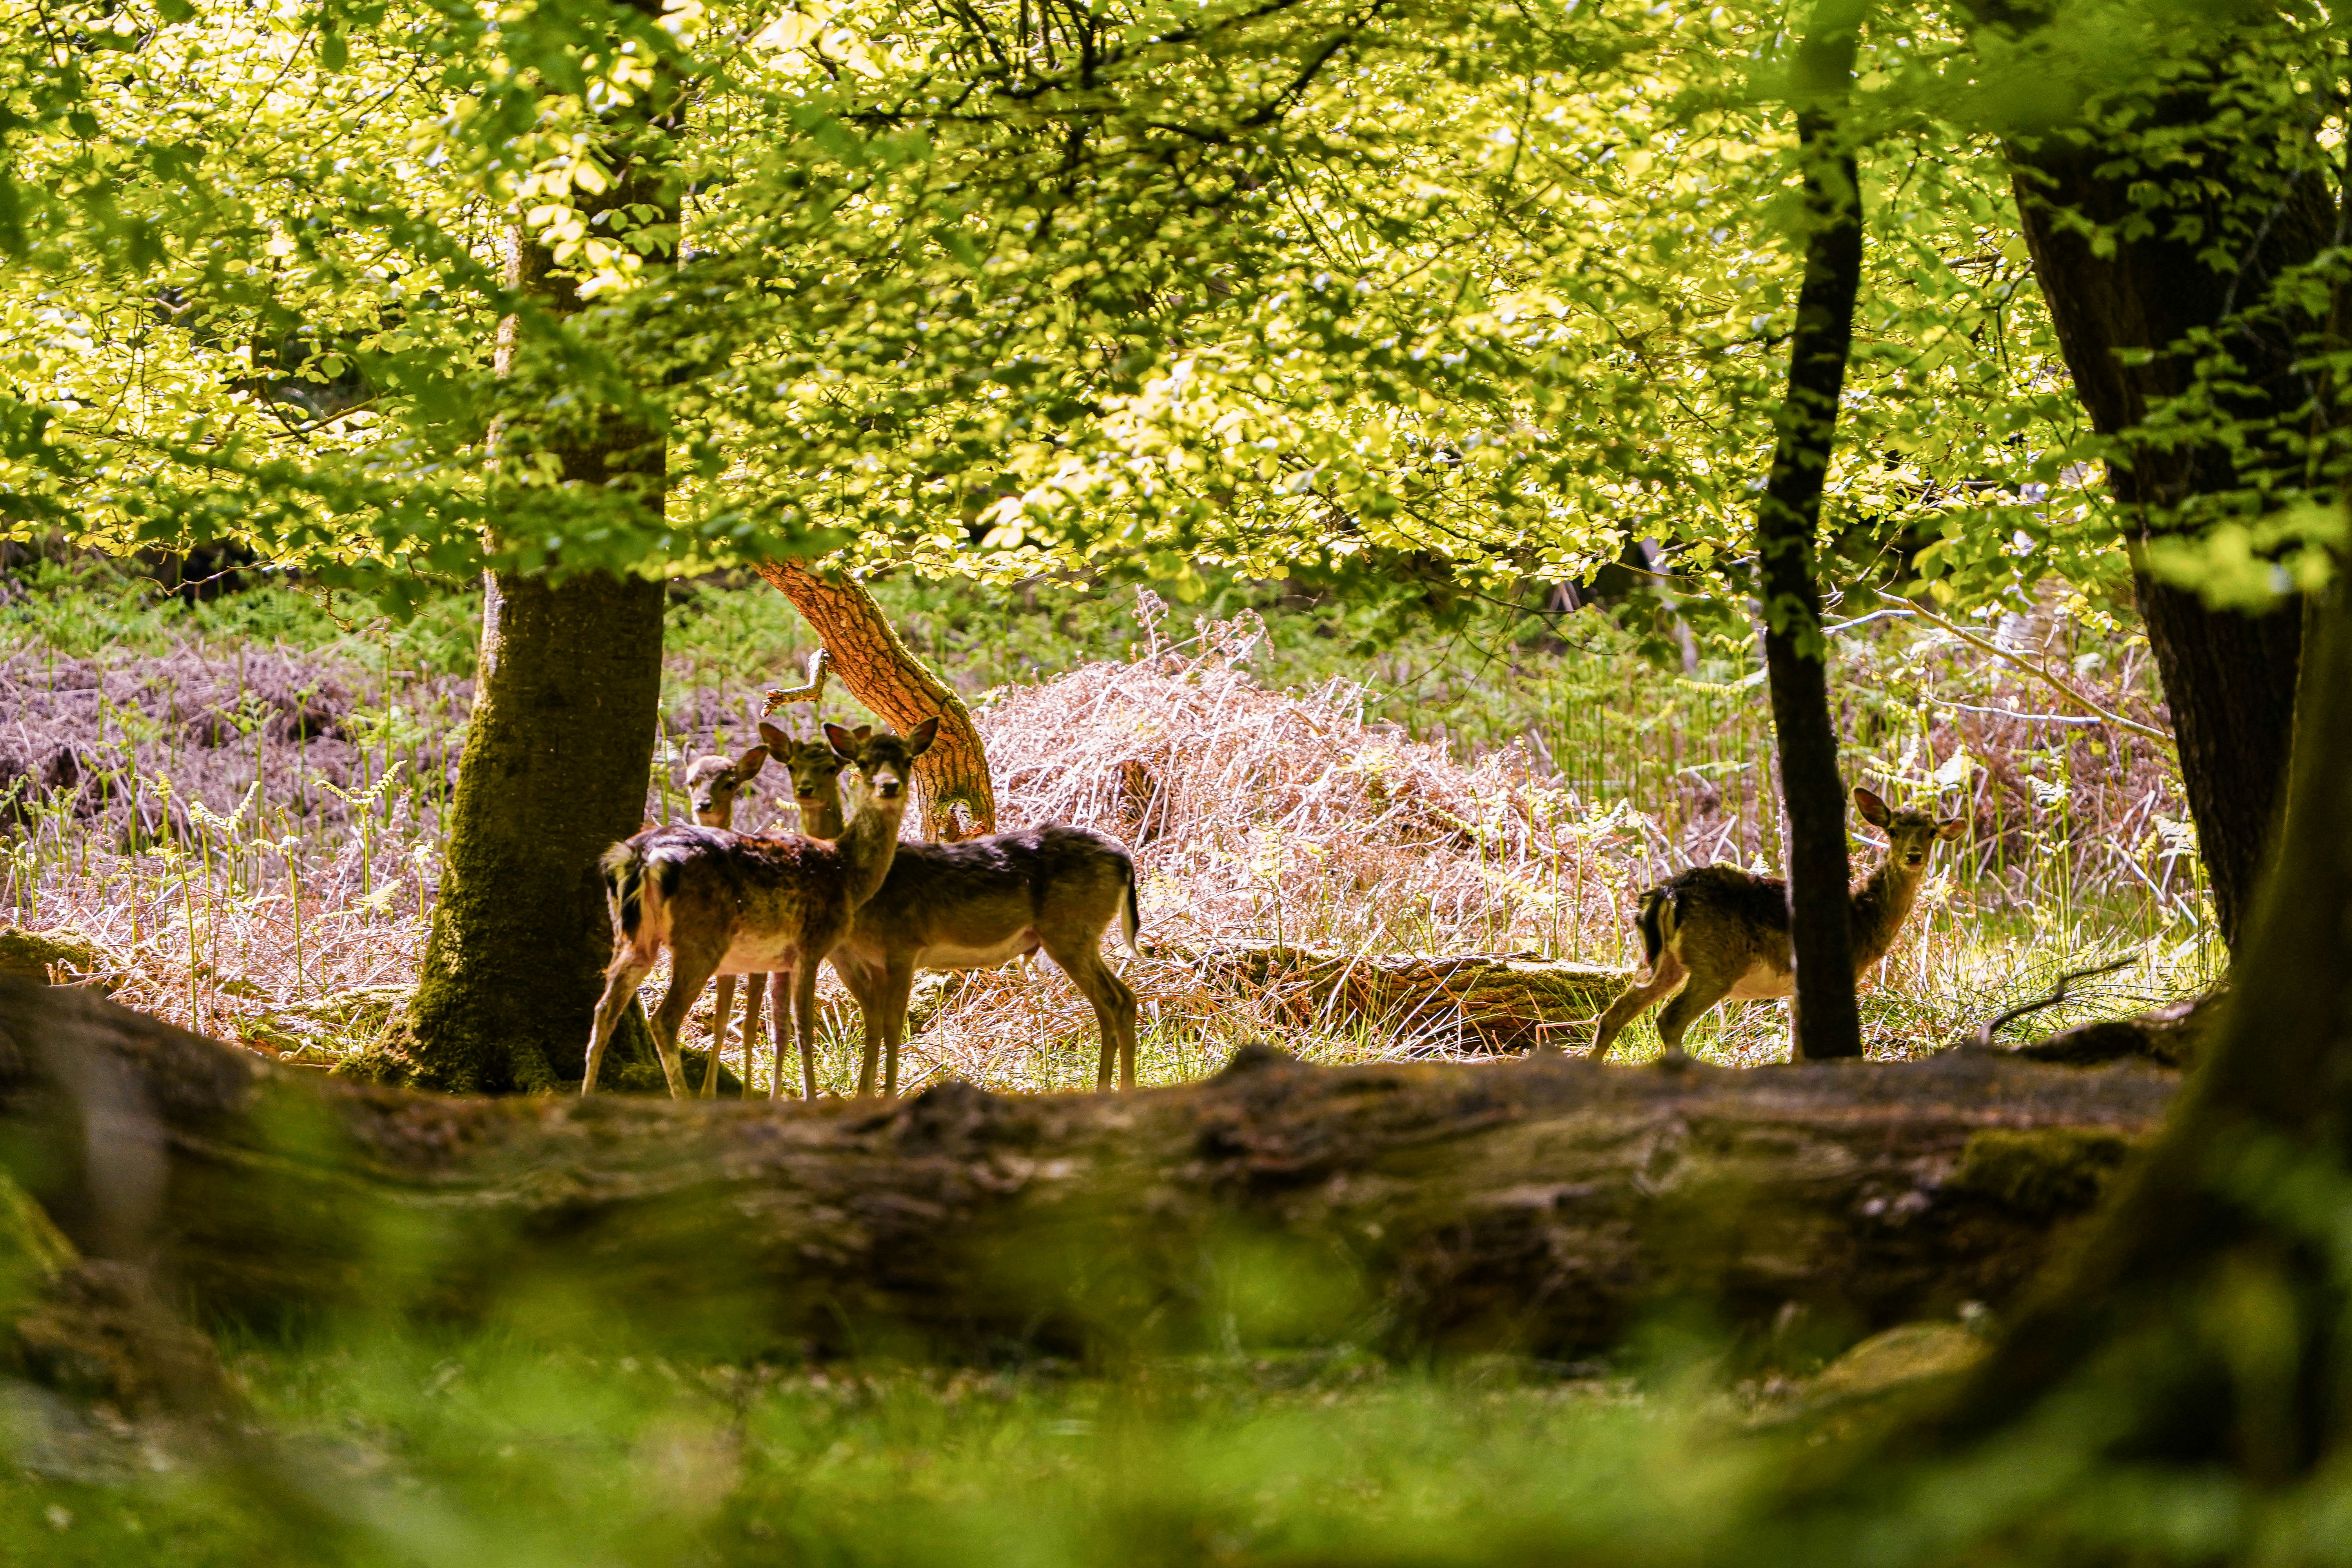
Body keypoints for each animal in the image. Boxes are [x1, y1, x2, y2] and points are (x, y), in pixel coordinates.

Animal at [584, 719, 938, 1099]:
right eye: (863, 762)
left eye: (907, 760)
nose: (889, 786)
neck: (846, 871)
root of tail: (642, 856)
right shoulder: (812, 945)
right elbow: (803, 1030)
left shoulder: (779, 959)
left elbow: (779, 1027)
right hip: (700, 939)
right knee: (663, 1020)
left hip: (633, 935)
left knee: (604, 1010)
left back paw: (587, 1096)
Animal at [784, 749, 1141, 1096]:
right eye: (790, 764)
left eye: (832, 767)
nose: (805, 790)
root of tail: (1124, 860)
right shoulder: (870, 960)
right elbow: (874, 1023)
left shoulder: (901, 948)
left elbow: (891, 1025)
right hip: (1078, 936)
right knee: (1121, 1000)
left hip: (1069, 932)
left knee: (1115, 1001)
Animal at [1586, 788, 1964, 1062]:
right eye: (1893, 830)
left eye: (1932, 832)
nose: (1914, 856)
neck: (1862, 917)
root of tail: (1669, 892)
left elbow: (1796, 1051)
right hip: (1716, 963)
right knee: (1668, 1018)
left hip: (1662, 960)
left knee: (1614, 1014)